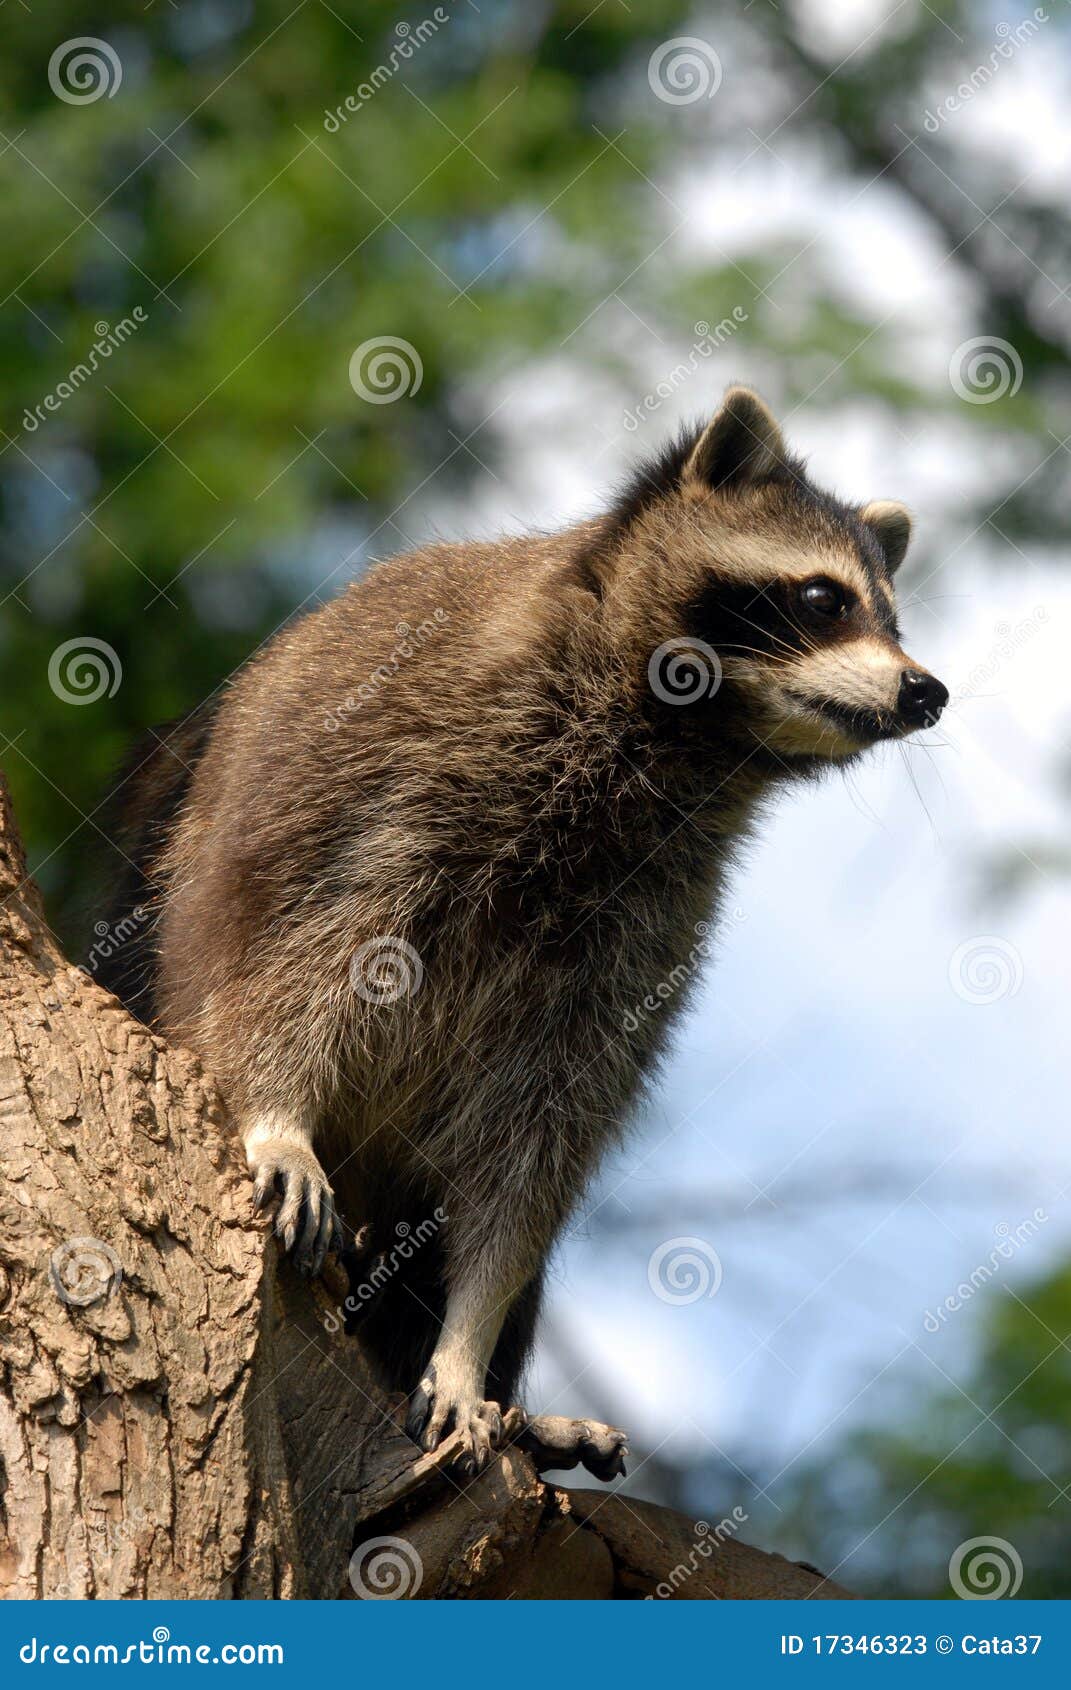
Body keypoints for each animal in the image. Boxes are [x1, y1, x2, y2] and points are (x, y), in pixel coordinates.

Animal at [94, 388, 947, 1477]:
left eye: (895, 619)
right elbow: (280, 960)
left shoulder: (644, 915)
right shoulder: (382, 772)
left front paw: (467, 1335)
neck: (679, 738)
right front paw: (274, 1116)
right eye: (822, 598)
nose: (926, 690)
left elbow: (541, 1136)